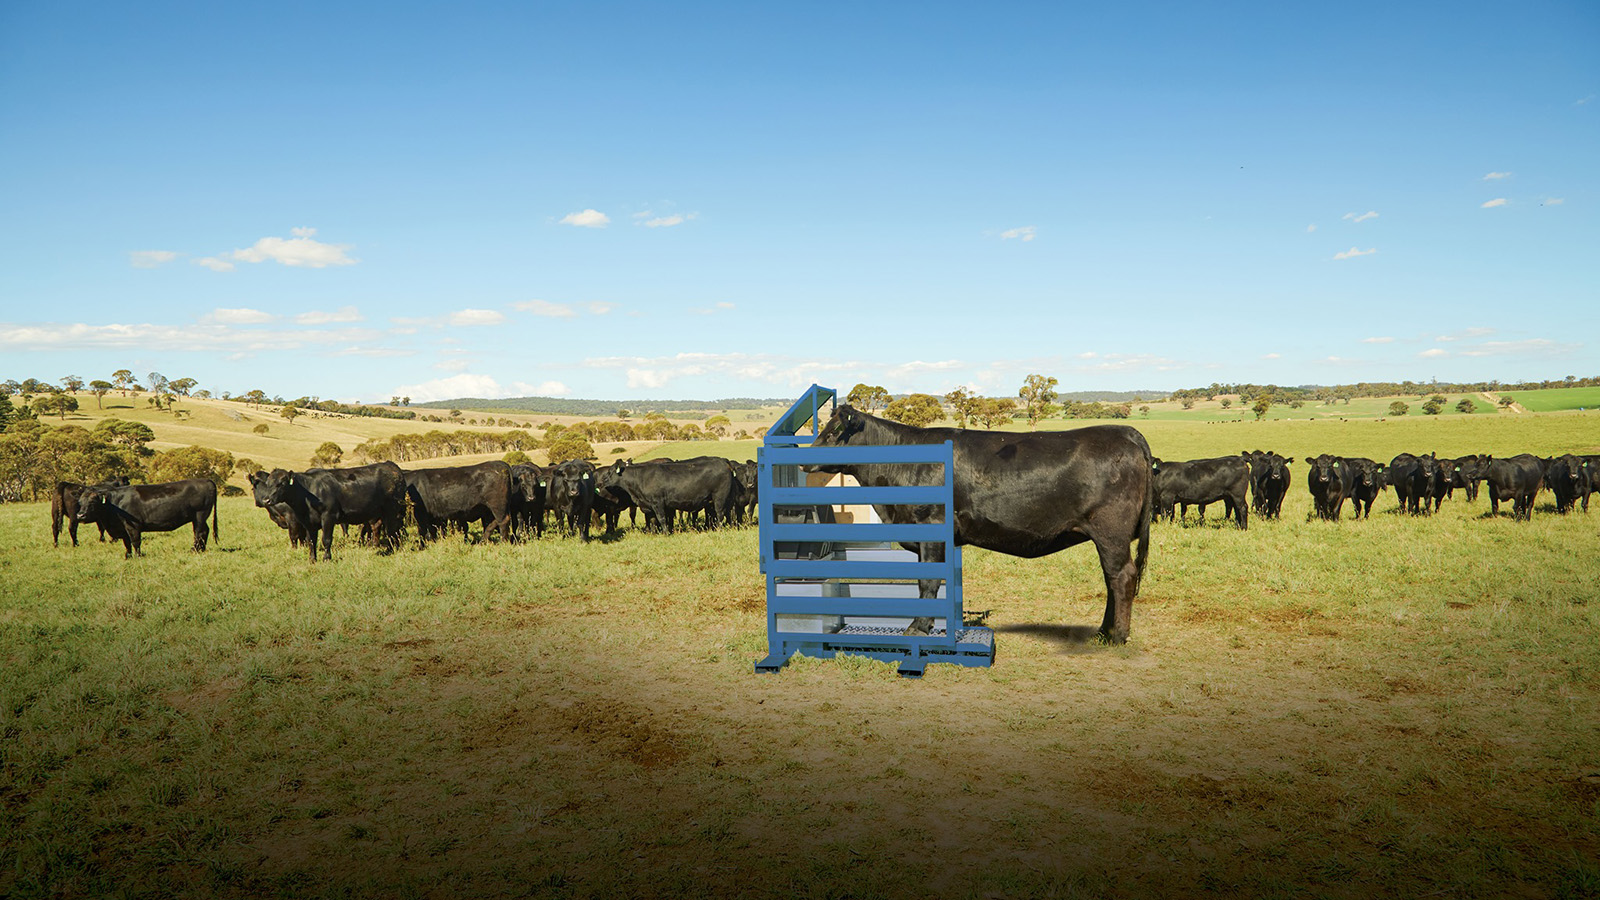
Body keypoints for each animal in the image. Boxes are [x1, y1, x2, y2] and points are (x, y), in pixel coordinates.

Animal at [74, 478, 218, 558]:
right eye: (80, 502)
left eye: (93, 502)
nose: (80, 515)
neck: (115, 503)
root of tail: (206, 480)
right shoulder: (123, 529)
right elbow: (127, 543)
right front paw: (128, 556)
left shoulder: (133, 526)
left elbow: (135, 542)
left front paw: (138, 556)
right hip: (199, 517)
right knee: (205, 531)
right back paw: (201, 549)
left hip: (200, 515)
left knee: (199, 532)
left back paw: (195, 550)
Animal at [253, 463, 407, 561]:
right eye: (268, 483)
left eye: (282, 483)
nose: (266, 500)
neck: (308, 492)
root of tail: (392, 467)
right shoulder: (308, 522)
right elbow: (311, 541)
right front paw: (312, 559)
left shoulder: (328, 517)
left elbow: (326, 539)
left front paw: (327, 558)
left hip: (393, 510)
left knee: (392, 530)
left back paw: (391, 550)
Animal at [595, 457, 739, 534]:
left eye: (609, 472)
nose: (599, 483)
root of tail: (724, 462)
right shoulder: (649, 506)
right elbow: (653, 521)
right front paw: (654, 534)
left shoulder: (658, 503)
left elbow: (662, 518)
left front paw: (665, 533)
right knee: (726, 514)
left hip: (719, 498)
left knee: (720, 514)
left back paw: (719, 529)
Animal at [810, 404, 1152, 644]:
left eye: (833, 433)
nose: (806, 460)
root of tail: (1124, 432)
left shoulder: (931, 527)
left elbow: (928, 582)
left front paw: (918, 628)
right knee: (1111, 579)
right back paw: (1103, 631)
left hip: (1110, 533)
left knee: (1121, 576)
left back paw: (1117, 636)